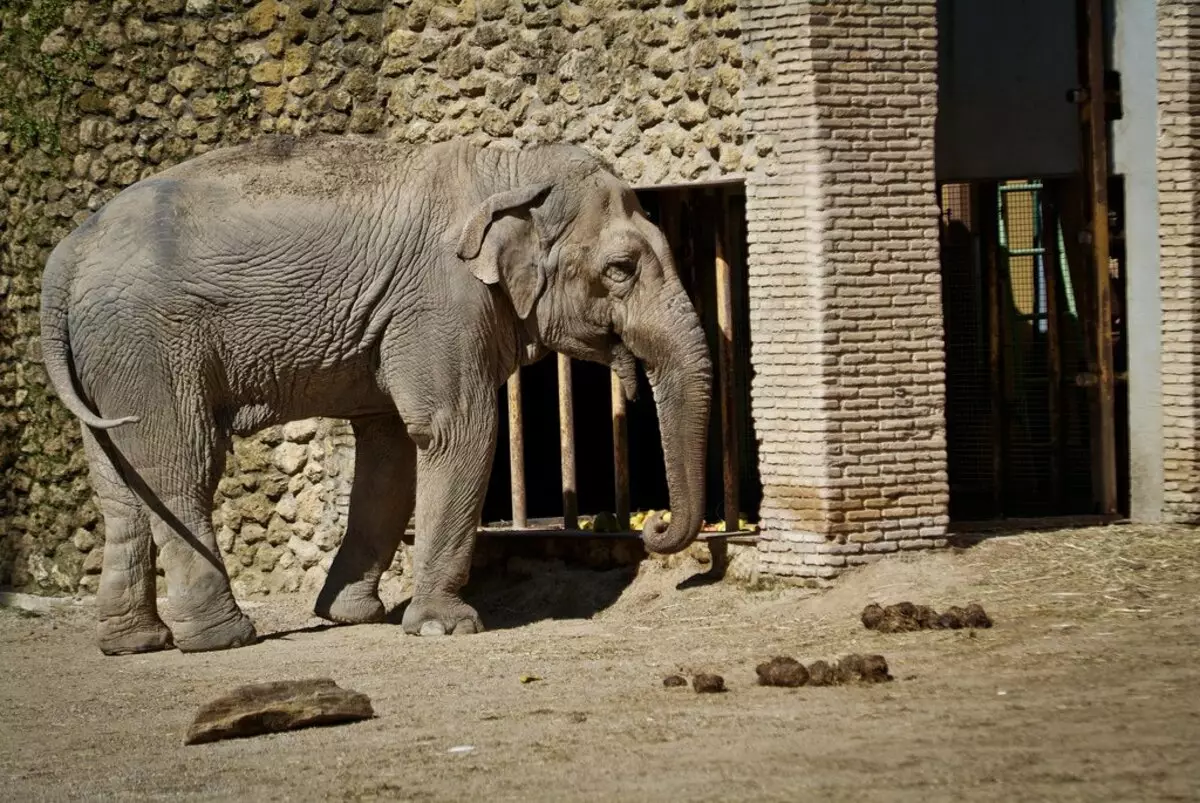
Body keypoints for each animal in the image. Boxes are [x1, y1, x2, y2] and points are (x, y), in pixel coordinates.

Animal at [39, 134, 710, 652]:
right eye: (621, 270)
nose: (653, 528)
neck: (510, 170)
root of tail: (64, 258)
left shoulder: (399, 317)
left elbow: (392, 452)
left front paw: (351, 616)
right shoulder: (440, 299)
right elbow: (455, 430)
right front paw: (446, 629)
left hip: (107, 358)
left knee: (119, 483)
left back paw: (134, 643)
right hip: (149, 345)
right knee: (183, 465)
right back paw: (225, 638)